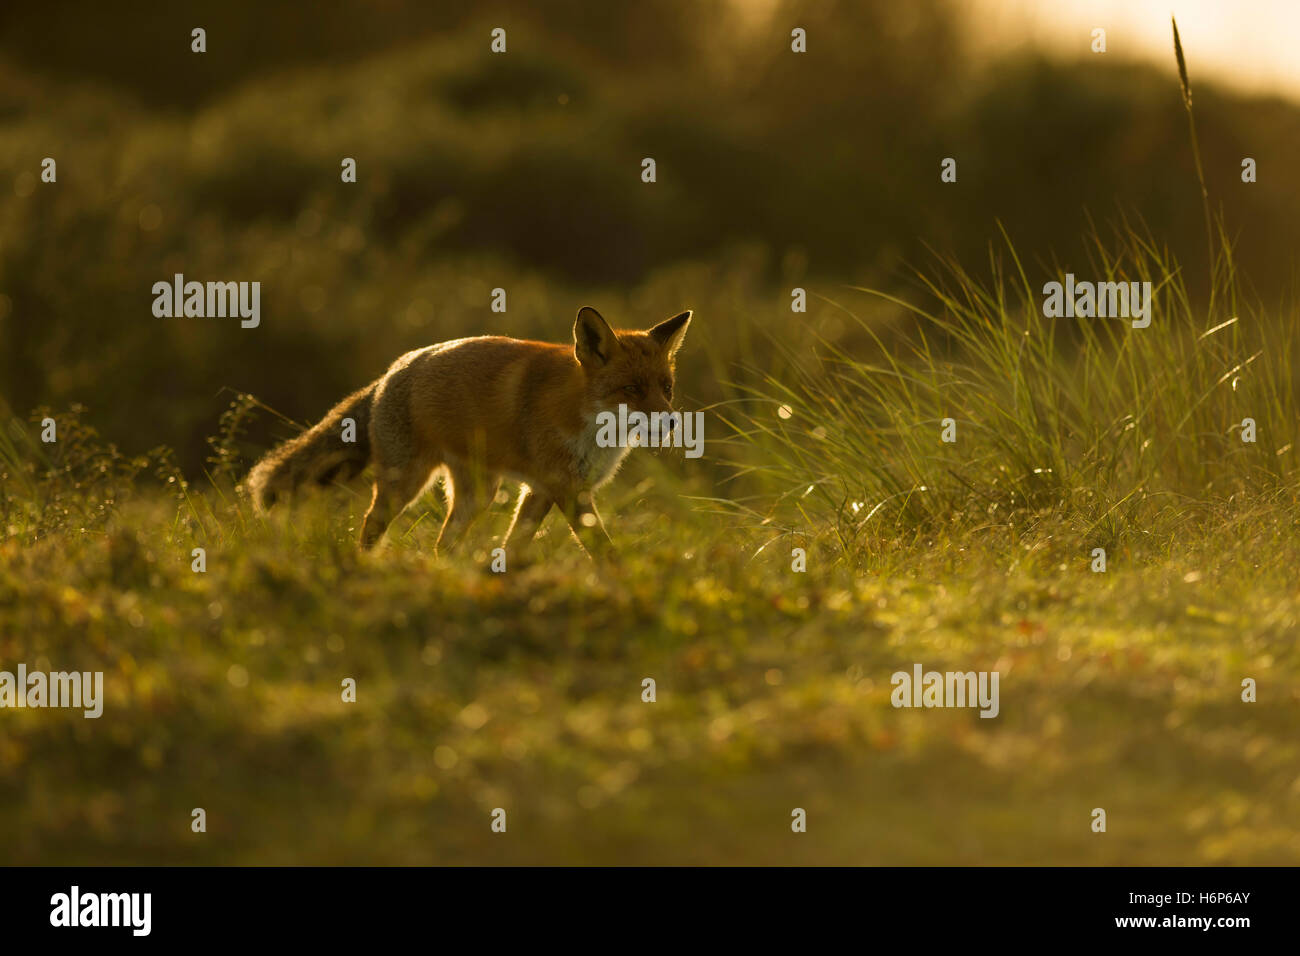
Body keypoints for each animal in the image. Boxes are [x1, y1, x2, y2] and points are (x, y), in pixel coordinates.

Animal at [244, 306, 692, 558]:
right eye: (631, 390)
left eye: (666, 389)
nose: (672, 422)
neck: (583, 418)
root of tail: (394, 368)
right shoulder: (566, 489)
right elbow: (602, 550)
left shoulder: (542, 490)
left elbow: (515, 548)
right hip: (404, 484)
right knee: (371, 525)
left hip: (478, 494)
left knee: (442, 544)